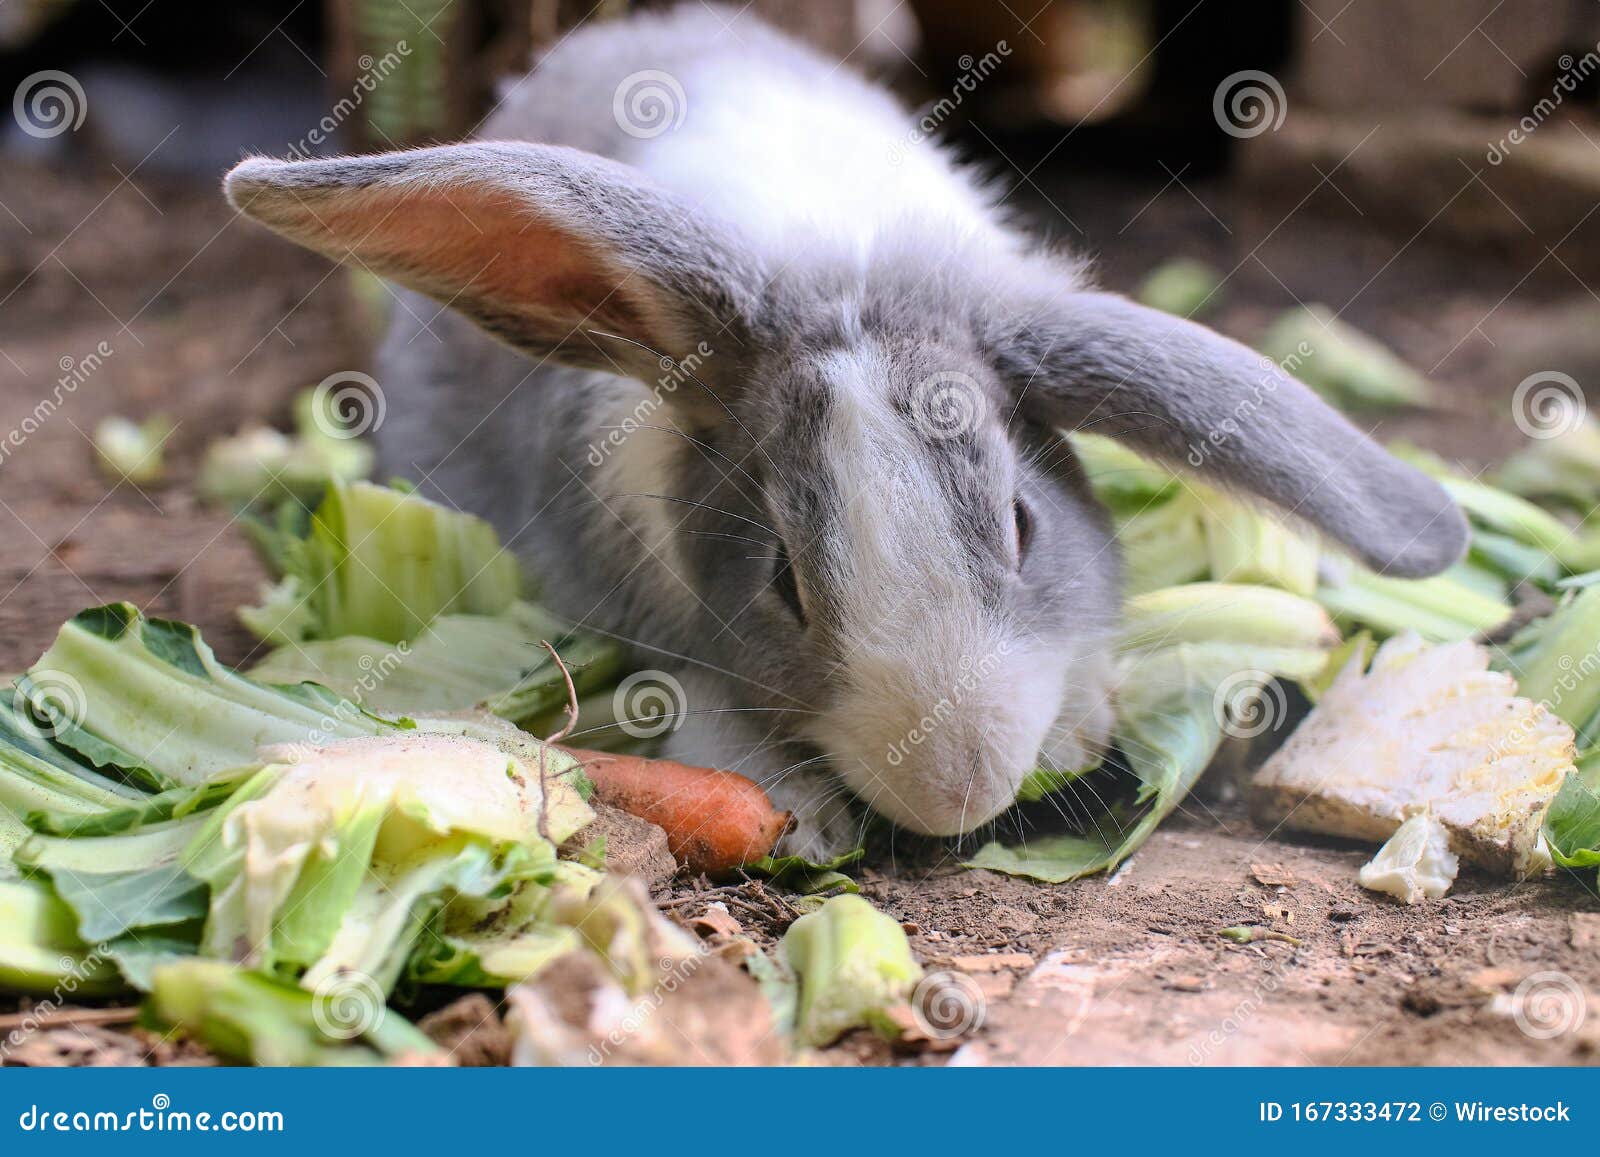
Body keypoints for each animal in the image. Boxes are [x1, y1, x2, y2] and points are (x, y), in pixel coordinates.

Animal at [223, 5, 1467, 859]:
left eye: (1023, 525)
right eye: (783, 578)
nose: (959, 791)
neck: (843, 277)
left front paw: (1073, 731)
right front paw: (804, 818)